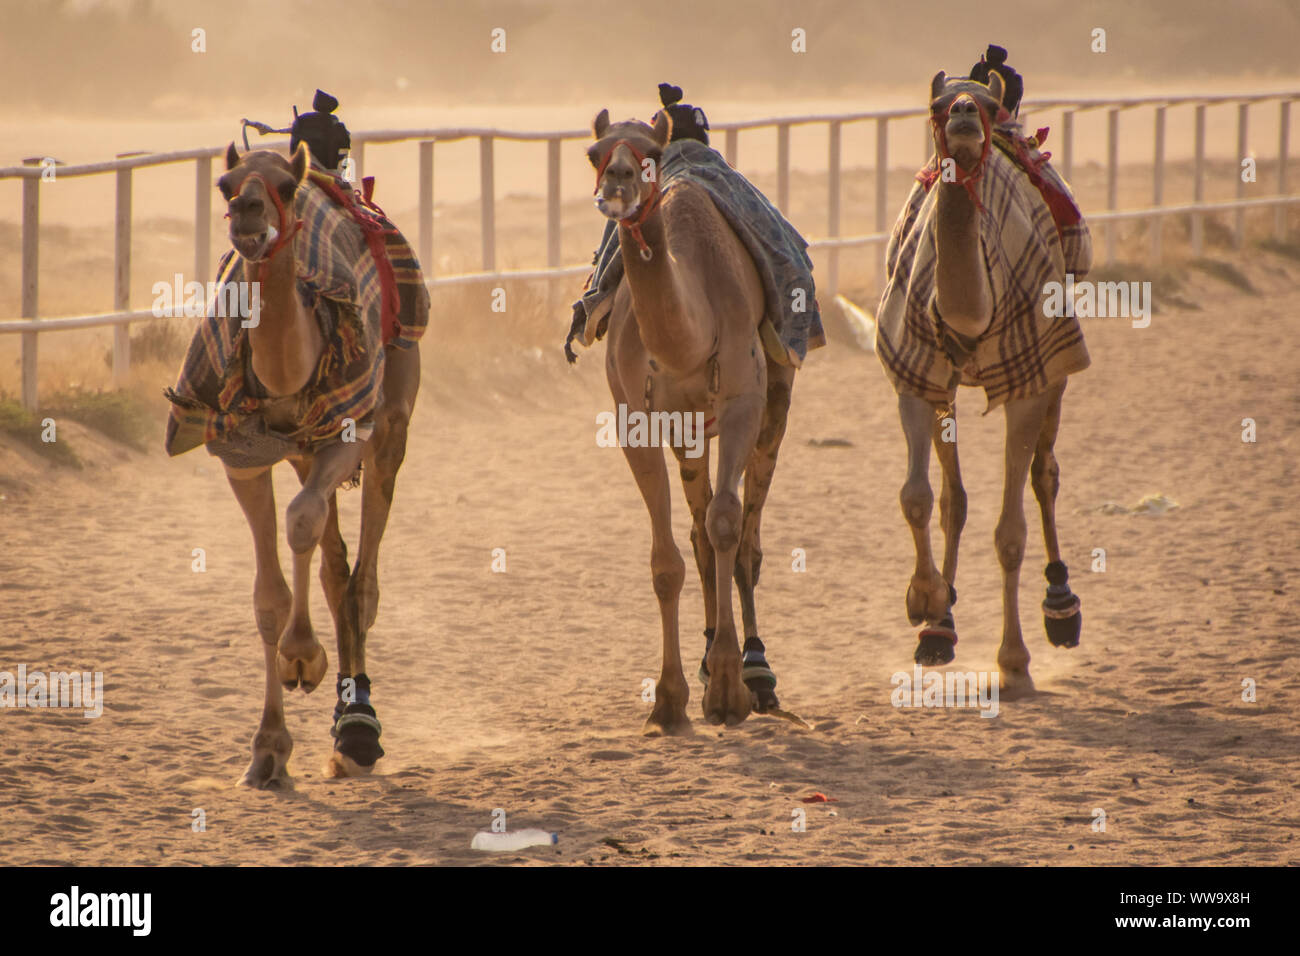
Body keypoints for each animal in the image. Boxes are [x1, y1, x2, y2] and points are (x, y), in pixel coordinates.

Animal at [212, 143, 421, 786]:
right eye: (226, 183)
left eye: (283, 185)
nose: (248, 213)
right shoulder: (241, 457)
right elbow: (268, 597)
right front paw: (266, 750)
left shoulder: (347, 433)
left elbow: (302, 523)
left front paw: (303, 655)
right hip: (305, 453)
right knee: (335, 567)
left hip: (390, 421)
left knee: (361, 580)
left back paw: (358, 730)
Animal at [587, 110, 797, 734]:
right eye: (594, 153)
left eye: (651, 152)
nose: (619, 181)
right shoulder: (636, 420)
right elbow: (666, 560)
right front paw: (669, 700)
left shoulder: (744, 403)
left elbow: (728, 525)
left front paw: (729, 691)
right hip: (688, 433)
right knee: (699, 533)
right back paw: (706, 661)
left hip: (775, 402)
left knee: (745, 537)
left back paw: (758, 674)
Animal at [878, 71, 1089, 697]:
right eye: (936, 106)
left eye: (990, 107)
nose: (966, 113)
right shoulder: (916, 372)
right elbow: (919, 497)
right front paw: (925, 602)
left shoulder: (1032, 376)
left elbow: (1010, 532)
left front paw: (1014, 663)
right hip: (948, 388)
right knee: (955, 497)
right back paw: (939, 631)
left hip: (1057, 366)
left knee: (1045, 474)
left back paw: (1061, 608)